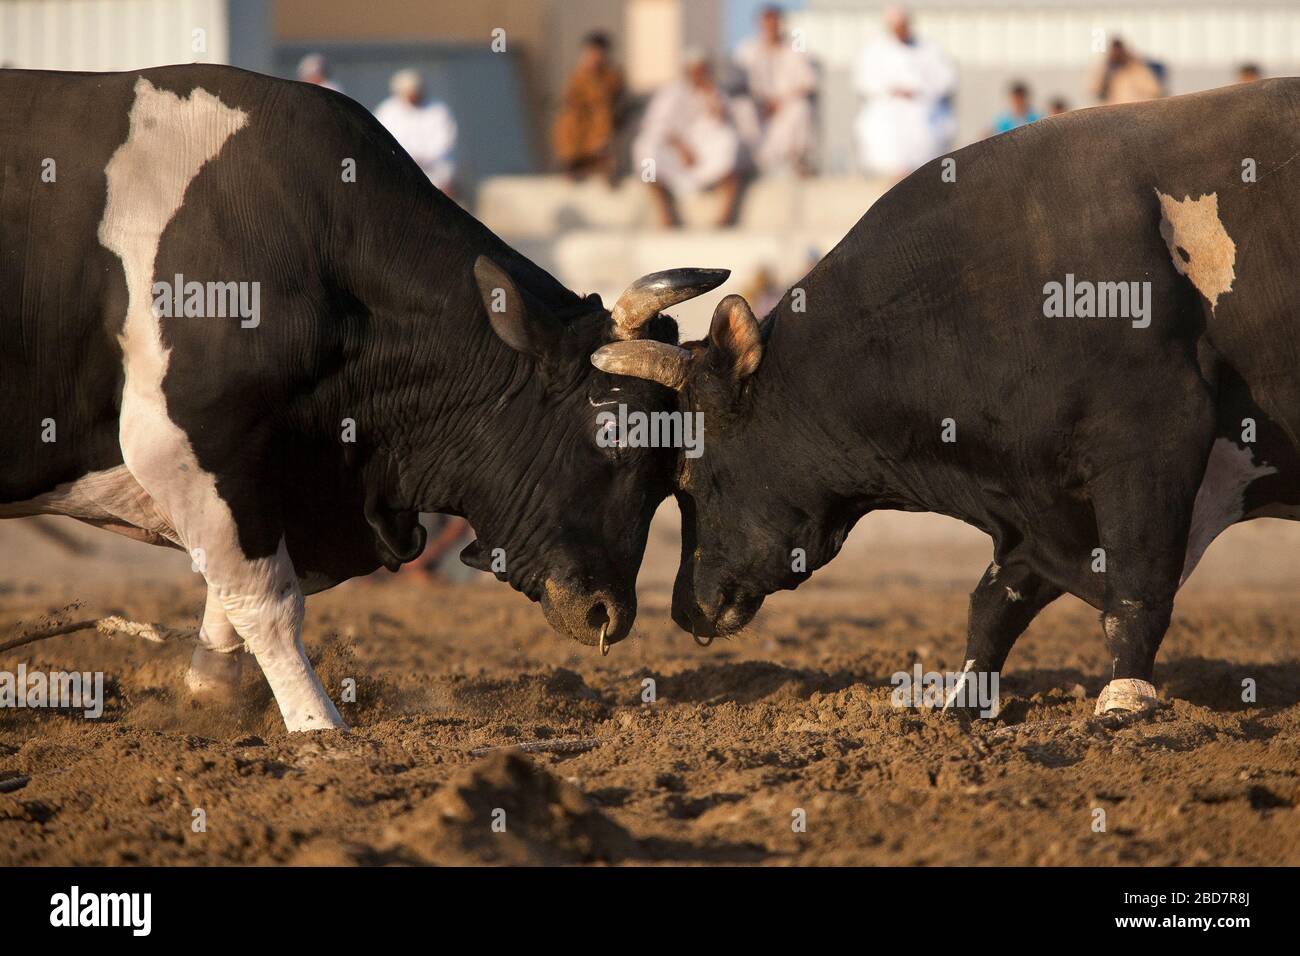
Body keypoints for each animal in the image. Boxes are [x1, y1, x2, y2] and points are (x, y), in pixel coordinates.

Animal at [0, 65, 726, 731]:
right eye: (614, 435)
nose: (611, 613)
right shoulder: (186, 441)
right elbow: (265, 599)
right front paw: (319, 726)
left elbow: (228, 594)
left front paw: (212, 695)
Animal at [595, 79, 1300, 717]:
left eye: (691, 475)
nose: (686, 607)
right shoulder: (1039, 510)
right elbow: (992, 605)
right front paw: (960, 703)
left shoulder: (1153, 441)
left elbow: (1137, 587)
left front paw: (1125, 701)